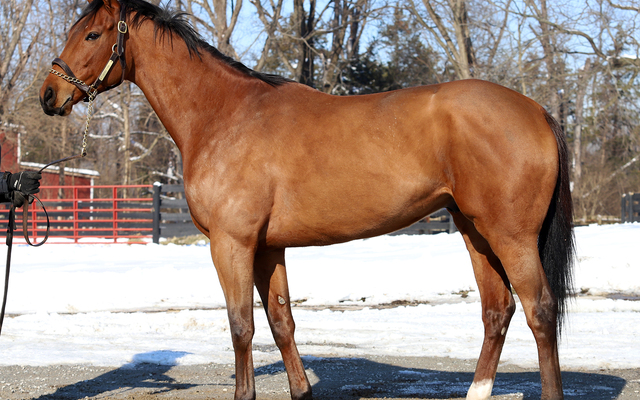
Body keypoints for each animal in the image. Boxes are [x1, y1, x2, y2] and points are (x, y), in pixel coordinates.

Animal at [39, 0, 574, 399]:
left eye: (92, 35)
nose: (48, 95)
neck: (224, 115)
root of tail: (536, 110)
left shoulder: (232, 245)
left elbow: (241, 327)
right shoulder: (268, 248)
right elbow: (282, 322)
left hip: (510, 235)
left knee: (540, 311)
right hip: (474, 230)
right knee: (497, 311)